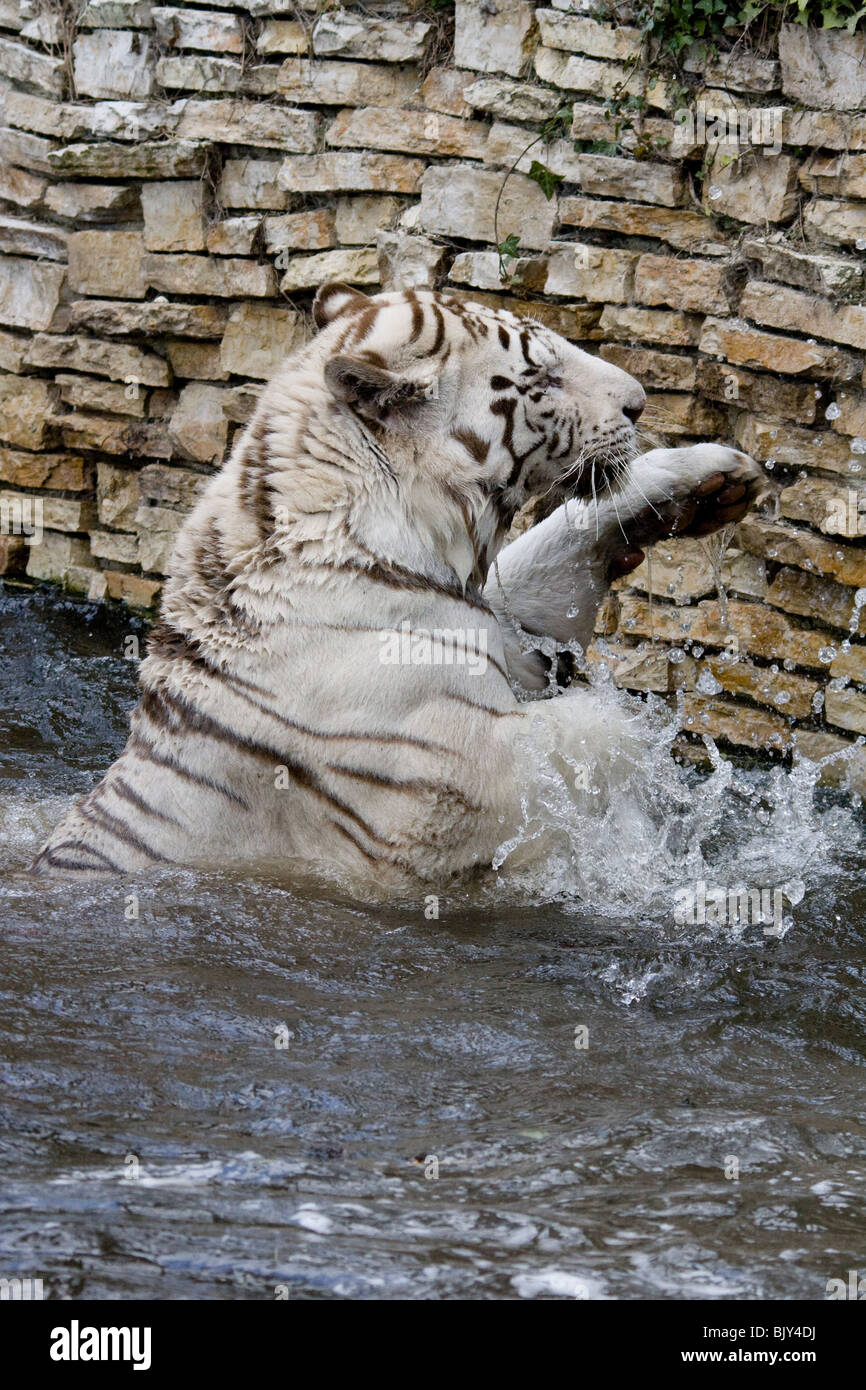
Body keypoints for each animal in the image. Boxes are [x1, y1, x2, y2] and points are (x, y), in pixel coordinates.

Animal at [32, 283, 764, 889]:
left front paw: (707, 481)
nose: (641, 402)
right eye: (543, 377)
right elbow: (596, 732)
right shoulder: (451, 778)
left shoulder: (513, 629)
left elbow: (553, 551)